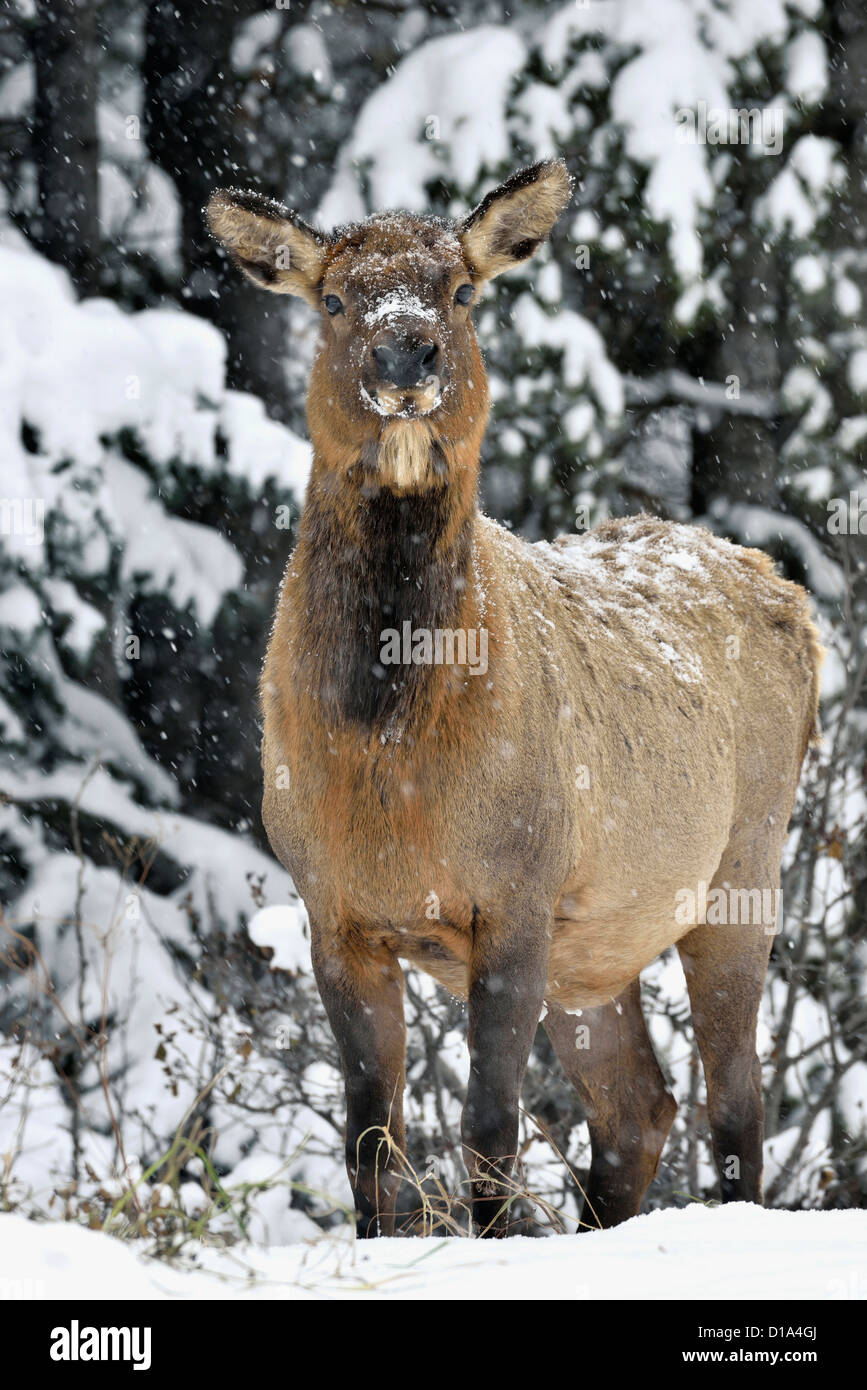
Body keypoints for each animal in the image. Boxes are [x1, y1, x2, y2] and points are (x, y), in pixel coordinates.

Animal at [206, 159, 823, 1238]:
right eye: (333, 300)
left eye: (460, 290)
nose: (404, 351)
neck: (389, 759)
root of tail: (791, 596)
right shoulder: (334, 906)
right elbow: (369, 1140)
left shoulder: (519, 886)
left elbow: (490, 1126)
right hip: (600, 943)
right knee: (638, 1106)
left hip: (743, 865)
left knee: (733, 1100)